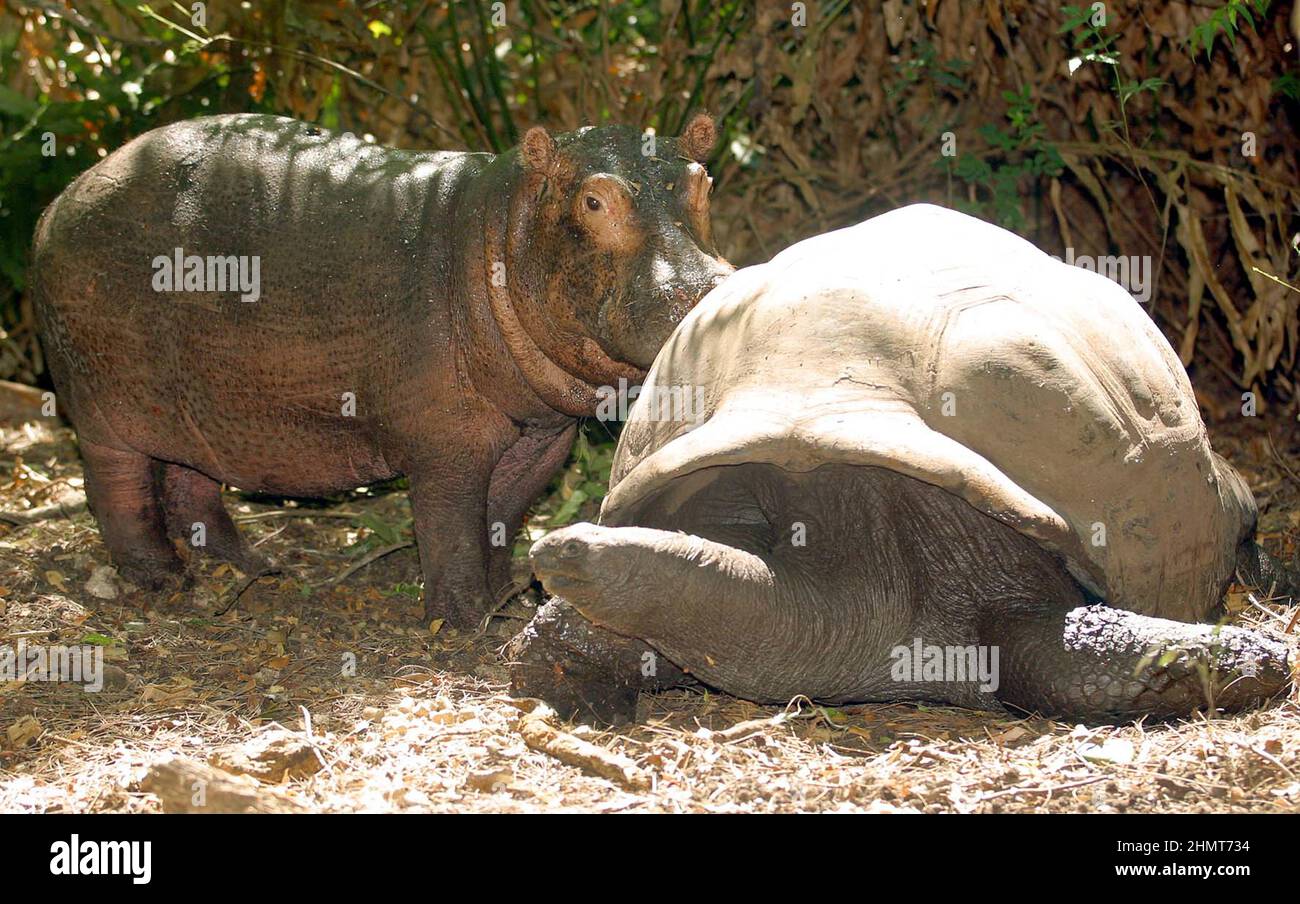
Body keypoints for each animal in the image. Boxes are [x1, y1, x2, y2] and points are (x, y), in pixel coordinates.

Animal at [30, 112, 731, 627]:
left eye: (704, 182)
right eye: (592, 201)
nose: (706, 288)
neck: (497, 233)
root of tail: (58, 202)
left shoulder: (540, 437)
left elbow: (502, 515)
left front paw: (504, 596)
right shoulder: (444, 439)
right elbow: (449, 523)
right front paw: (463, 620)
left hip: (195, 401)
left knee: (190, 477)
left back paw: (255, 566)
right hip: (104, 406)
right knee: (117, 486)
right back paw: (162, 579)